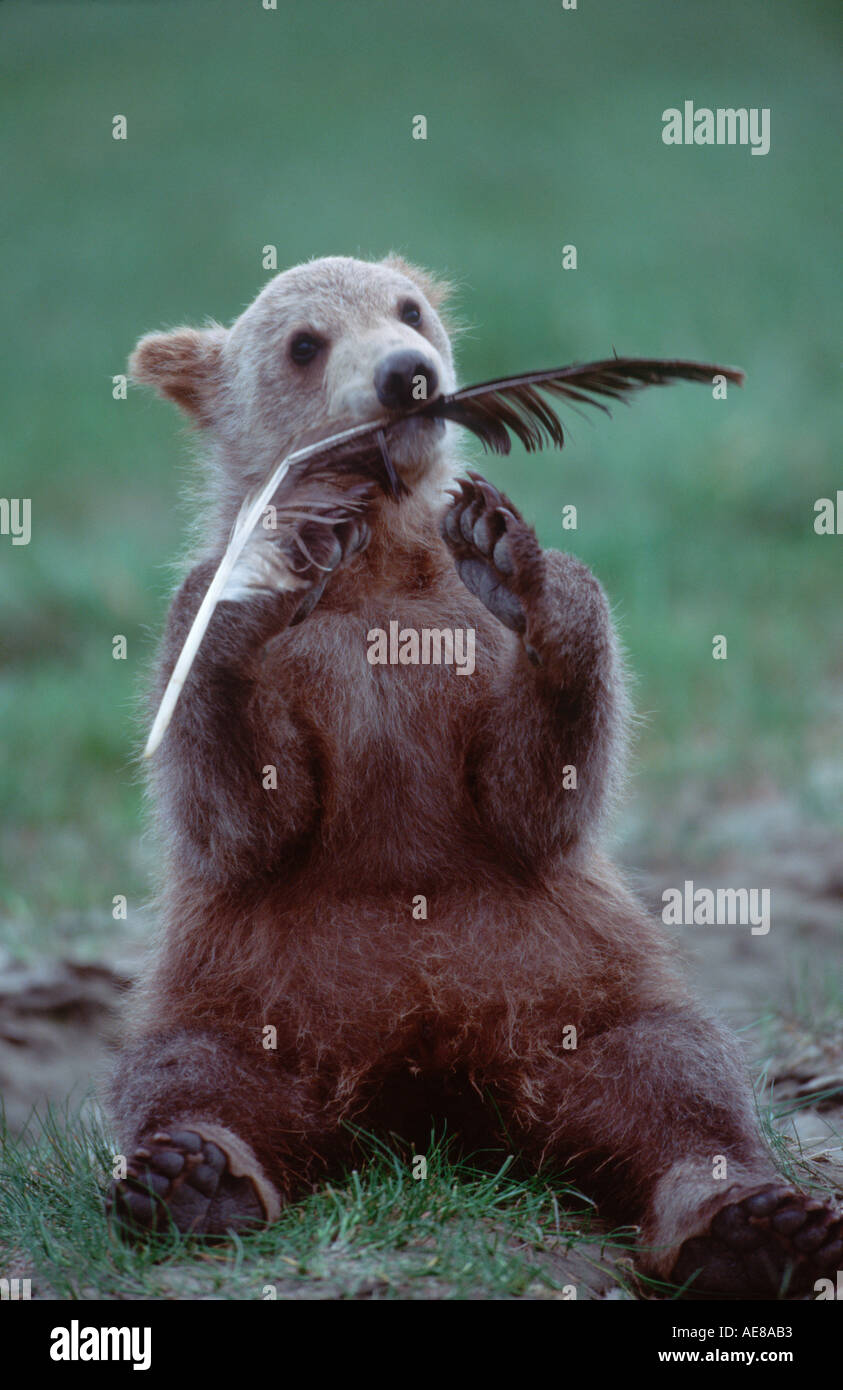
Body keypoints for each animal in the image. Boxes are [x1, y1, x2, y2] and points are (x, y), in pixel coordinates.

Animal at [107, 254, 842, 1297]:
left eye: (408, 309)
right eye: (304, 343)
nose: (407, 375)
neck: (379, 563)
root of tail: (429, 1092)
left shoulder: (466, 653)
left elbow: (532, 792)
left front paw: (515, 559)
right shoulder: (247, 666)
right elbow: (239, 811)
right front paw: (267, 570)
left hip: (564, 980)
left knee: (671, 1073)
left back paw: (747, 1223)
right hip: (255, 989)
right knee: (191, 1070)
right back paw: (195, 1175)